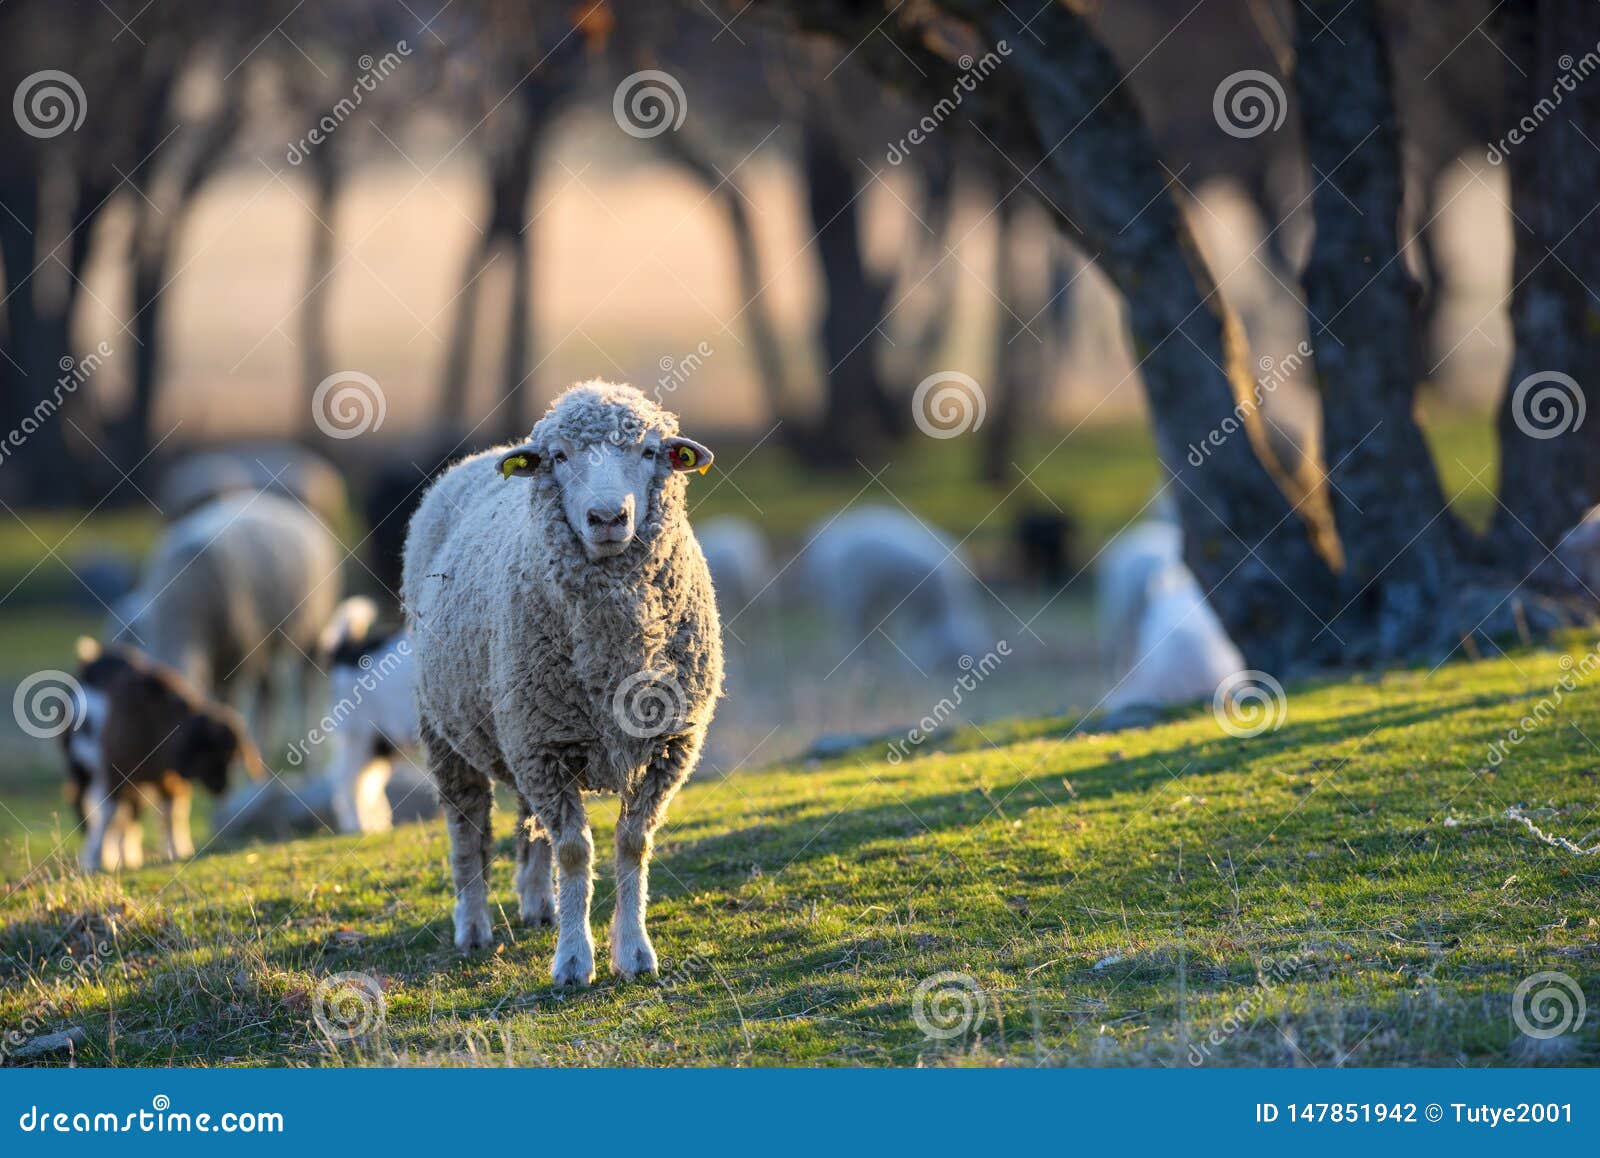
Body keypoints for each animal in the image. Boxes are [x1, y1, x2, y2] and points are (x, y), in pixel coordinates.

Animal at [63, 637, 266, 872]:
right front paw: (95, 859)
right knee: (86, 804)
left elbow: (172, 811)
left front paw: (179, 851)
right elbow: (108, 814)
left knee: (130, 814)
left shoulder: (165, 776)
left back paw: (129, 856)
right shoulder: (116, 771)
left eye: (231, 756)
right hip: (80, 768)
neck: (155, 721)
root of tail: (90, 660)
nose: (222, 787)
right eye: (212, 753)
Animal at [110, 490, 344, 750]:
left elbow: (229, 707)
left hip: (315, 626)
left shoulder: (235, 661)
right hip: (264, 637)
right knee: (270, 690)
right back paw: (264, 745)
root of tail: (286, 503)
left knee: (307, 686)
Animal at [403, 380, 723, 985]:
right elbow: (575, 850)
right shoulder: (542, 743)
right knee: (467, 827)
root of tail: (482, 457)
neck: (616, 650)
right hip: (447, 729)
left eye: (650, 451)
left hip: (525, 729)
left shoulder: (665, 745)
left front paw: (634, 951)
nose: (607, 517)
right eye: (559, 456)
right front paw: (574, 961)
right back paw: (473, 926)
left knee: (530, 826)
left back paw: (539, 904)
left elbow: (633, 843)